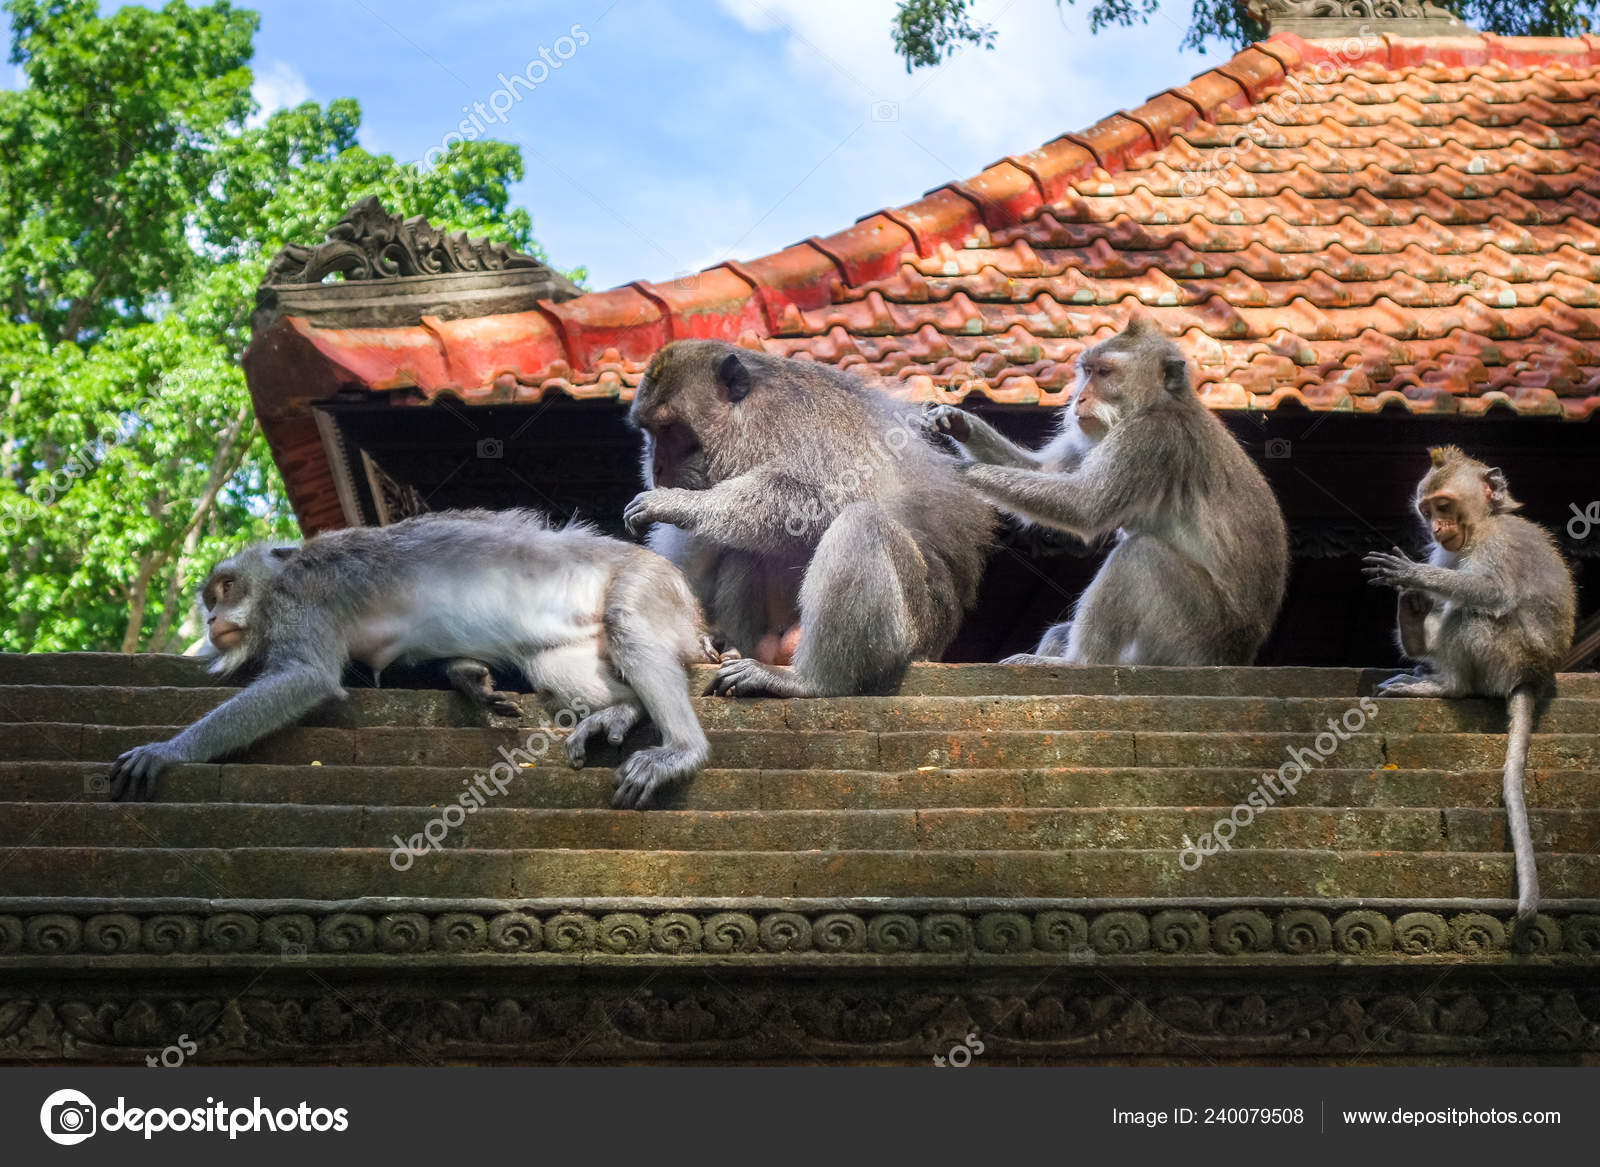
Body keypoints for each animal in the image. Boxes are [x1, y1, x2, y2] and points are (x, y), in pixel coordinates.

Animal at [107, 509, 718, 809]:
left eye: (227, 587)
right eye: (209, 598)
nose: (212, 620)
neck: (280, 579)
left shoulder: (301, 602)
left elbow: (305, 678)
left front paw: (168, 751)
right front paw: (469, 679)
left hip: (650, 582)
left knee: (629, 622)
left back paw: (682, 749)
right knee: (552, 664)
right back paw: (624, 709)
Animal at [623, 340, 995, 698]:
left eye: (671, 429)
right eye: (650, 431)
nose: (656, 467)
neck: (749, 419)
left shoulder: (798, 428)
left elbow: (821, 503)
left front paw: (679, 504)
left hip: (915, 633)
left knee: (861, 524)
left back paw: (813, 682)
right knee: (742, 551)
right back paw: (733, 647)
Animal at [933, 318, 1288, 666]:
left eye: (1105, 373)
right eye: (1087, 371)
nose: (1080, 398)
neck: (1157, 404)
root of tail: (1240, 655)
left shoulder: (1148, 438)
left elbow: (1083, 506)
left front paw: (961, 470)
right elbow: (1043, 471)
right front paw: (959, 423)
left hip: (1192, 639)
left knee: (1141, 554)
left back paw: (1077, 661)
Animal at [1363, 446, 1576, 926]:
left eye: (1444, 506)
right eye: (1427, 511)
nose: (1437, 529)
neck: (1483, 524)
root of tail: (1533, 677)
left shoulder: (1498, 544)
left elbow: (1491, 591)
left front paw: (1415, 575)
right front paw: (1410, 599)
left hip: (1506, 656)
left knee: (1474, 611)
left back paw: (1448, 686)